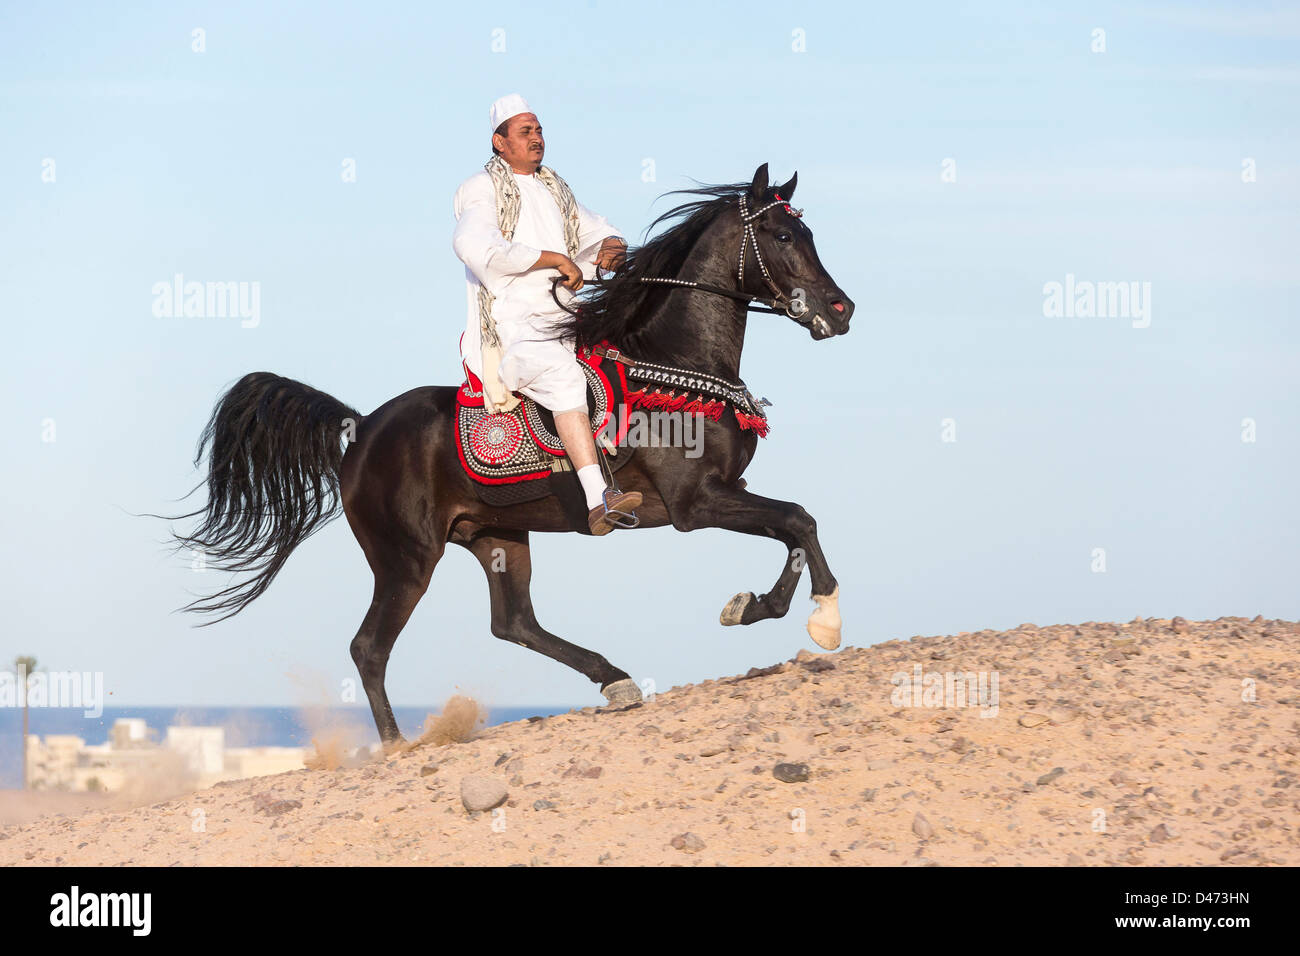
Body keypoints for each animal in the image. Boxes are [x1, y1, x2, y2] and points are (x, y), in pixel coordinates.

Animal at [171, 163, 854, 745]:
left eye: (807, 231)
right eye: (781, 234)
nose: (841, 309)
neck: (675, 363)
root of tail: (362, 427)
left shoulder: (727, 492)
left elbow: (794, 525)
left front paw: (762, 606)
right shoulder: (694, 503)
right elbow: (797, 518)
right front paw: (822, 617)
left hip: (498, 536)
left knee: (513, 623)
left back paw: (614, 679)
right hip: (406, 559)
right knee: (370, 647)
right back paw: (394, 745)